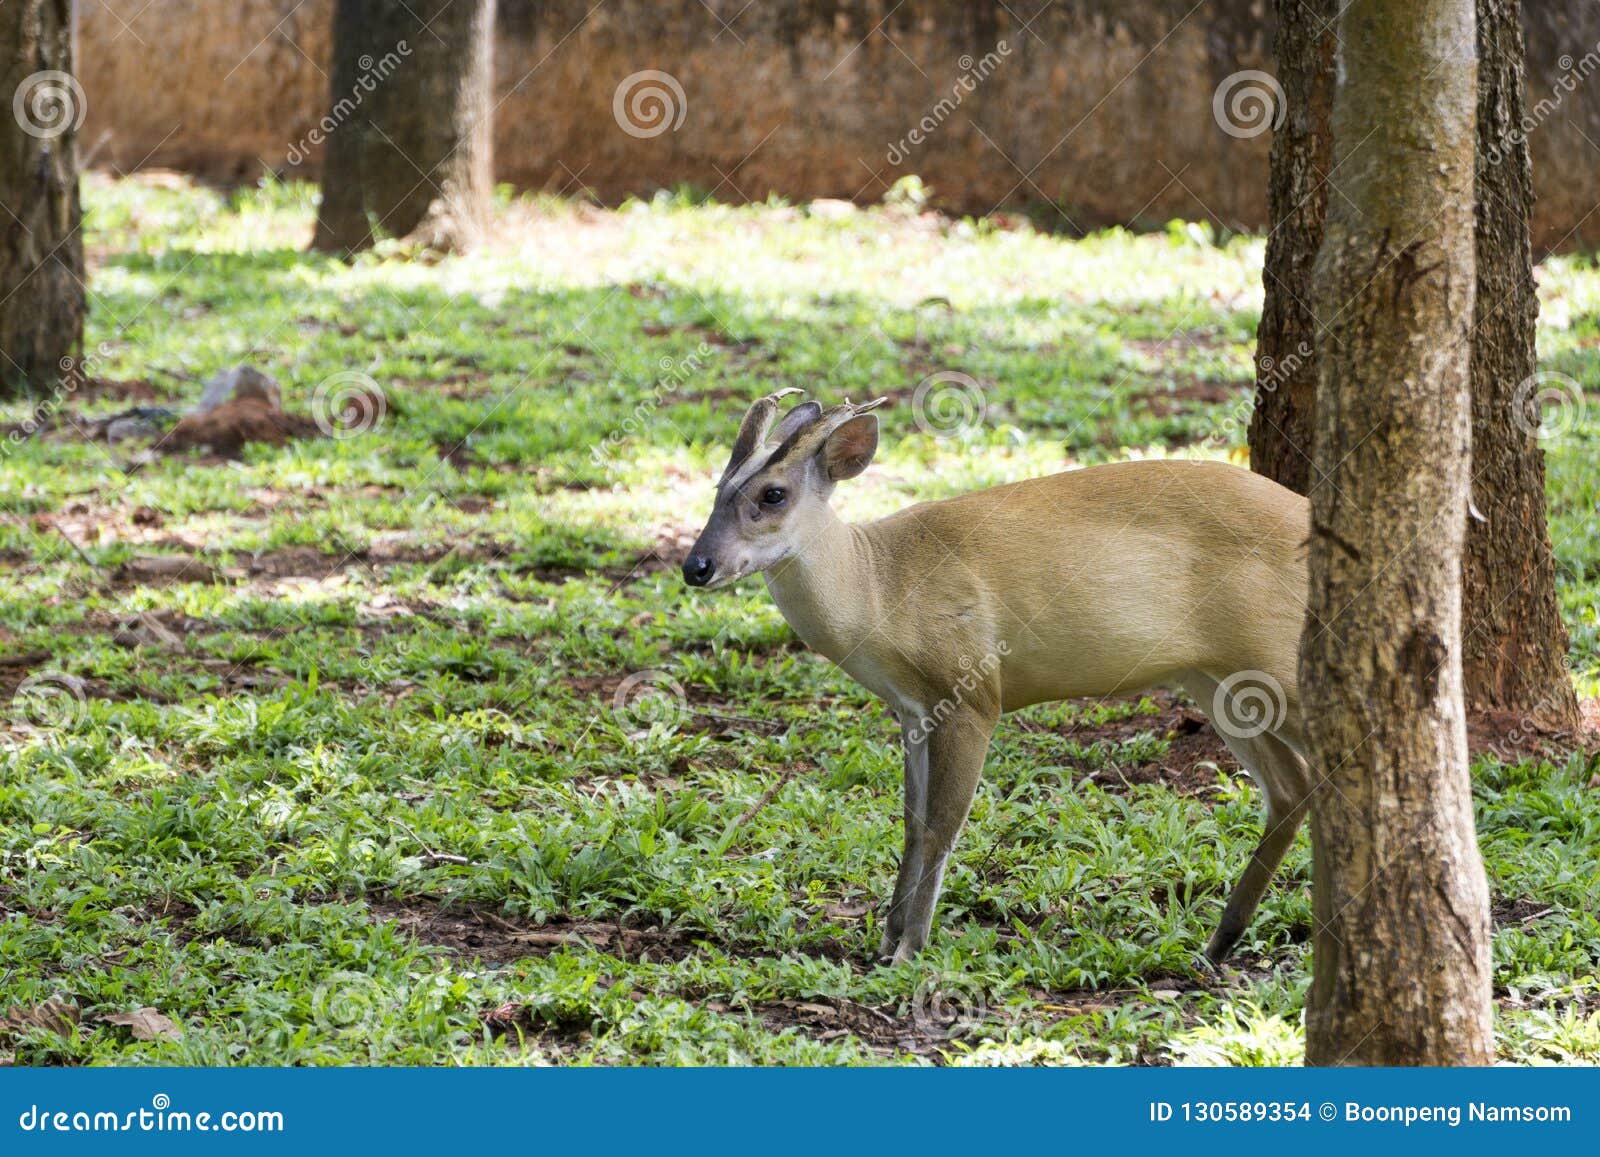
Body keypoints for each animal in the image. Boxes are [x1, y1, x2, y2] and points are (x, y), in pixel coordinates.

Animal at [683, 389, 1313, 966]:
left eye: (773, 493)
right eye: (718, 489)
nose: (696, 566)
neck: (879, 588)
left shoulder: (972, 693)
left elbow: (942, 825)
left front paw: (910, 949)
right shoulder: (911, 709)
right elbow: (912, 823)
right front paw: (886, 940)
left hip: (1274, 657)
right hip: (1214, 677)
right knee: (1290, 787)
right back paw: (1219, 942)